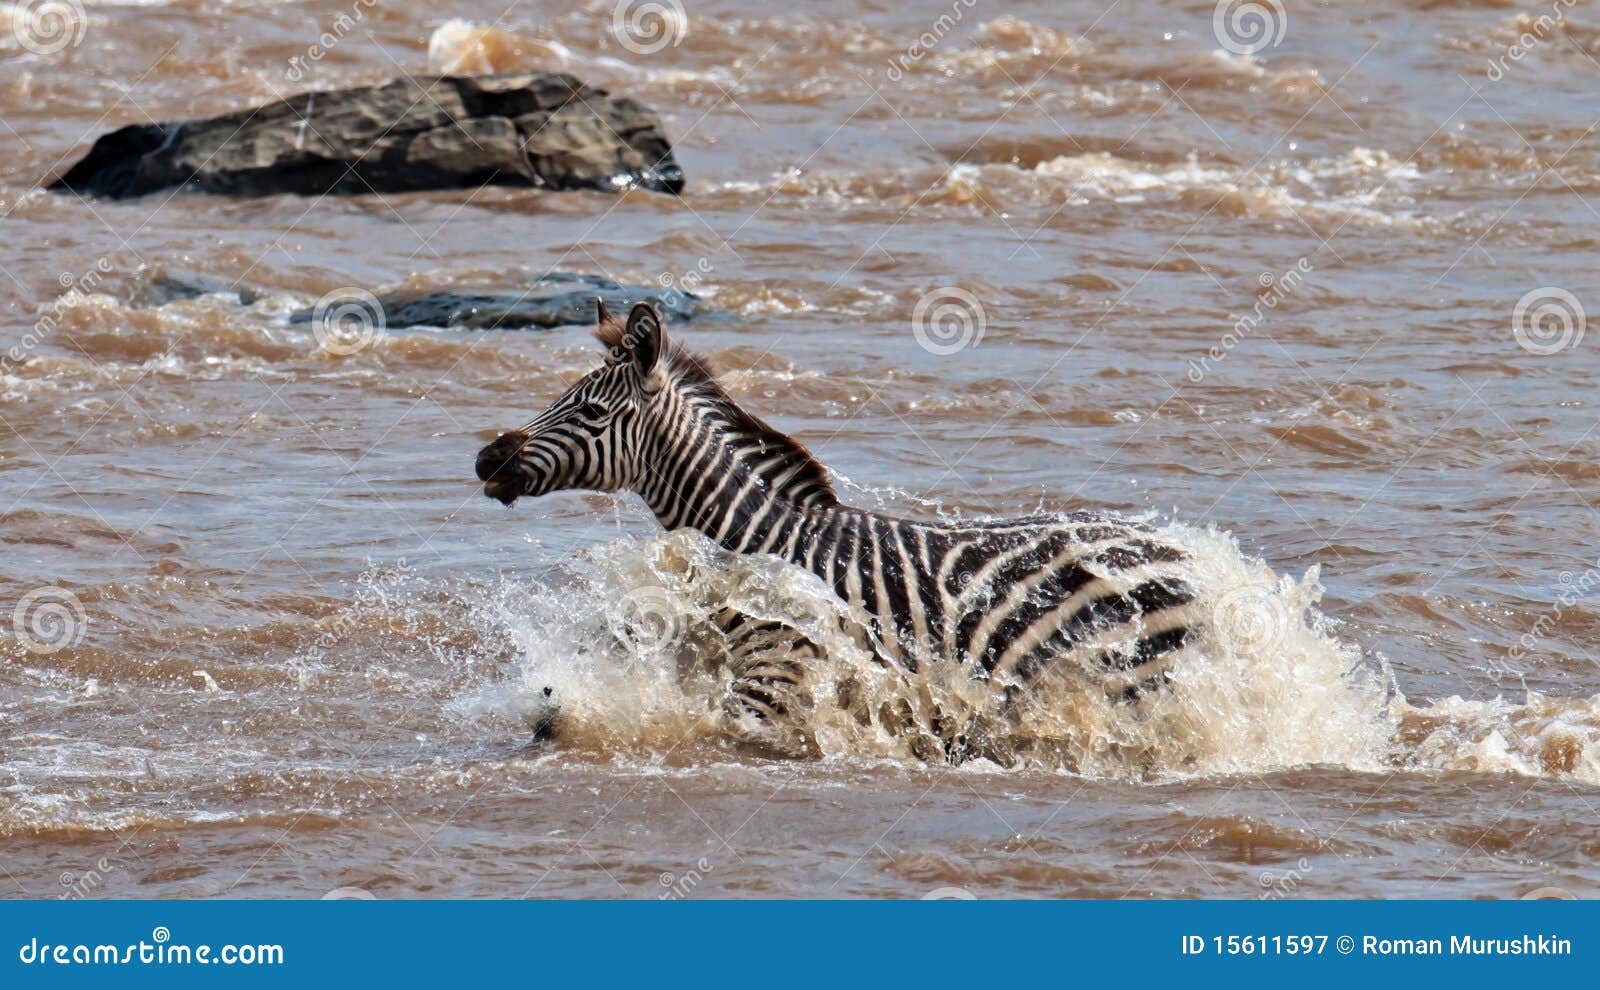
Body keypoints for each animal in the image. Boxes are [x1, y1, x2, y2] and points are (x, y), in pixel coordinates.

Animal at [475, 301, 1201, 759]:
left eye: (591, 412)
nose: (487, 459)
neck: (762, 541)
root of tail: (1180, 556)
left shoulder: (778, 682)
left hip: (1132, 684)